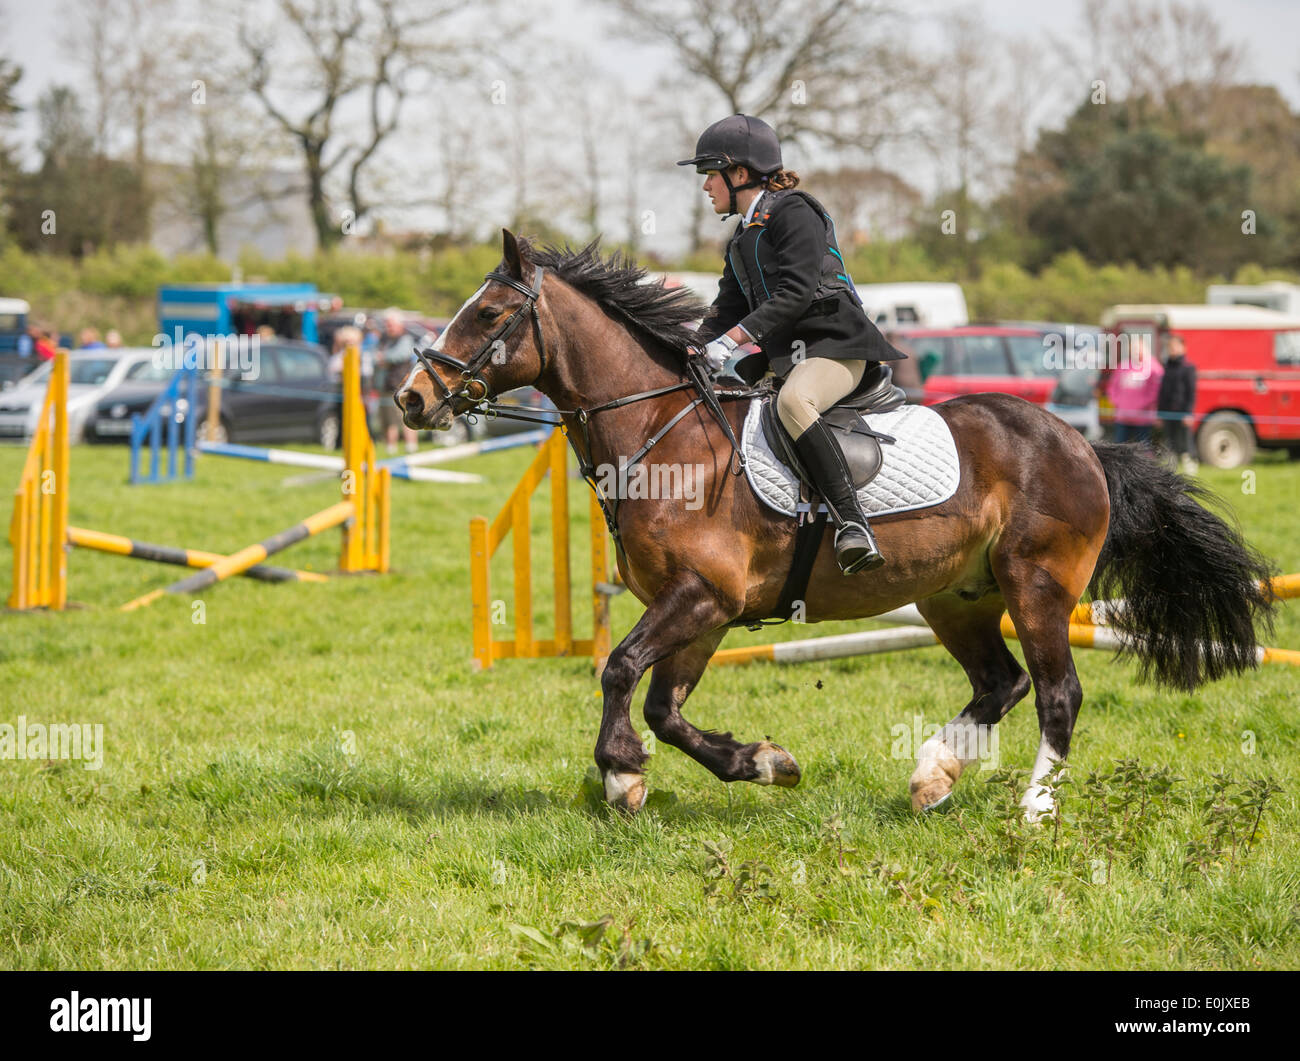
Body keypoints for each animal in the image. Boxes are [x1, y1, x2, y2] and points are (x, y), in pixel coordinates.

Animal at [397, 230, 1275, 819]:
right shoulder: (706, 611)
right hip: (956, 597)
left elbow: (617, 670)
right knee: (1002, 681)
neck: (662, 431)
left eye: (491, 312)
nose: (410, 397)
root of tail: (1079, 442)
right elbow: (664, 709)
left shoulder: (700, 596)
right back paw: (933, 775)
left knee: (1058, 691)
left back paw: (1033, 808)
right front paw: (764, 761)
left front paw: (620, 776)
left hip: (1038, 587)